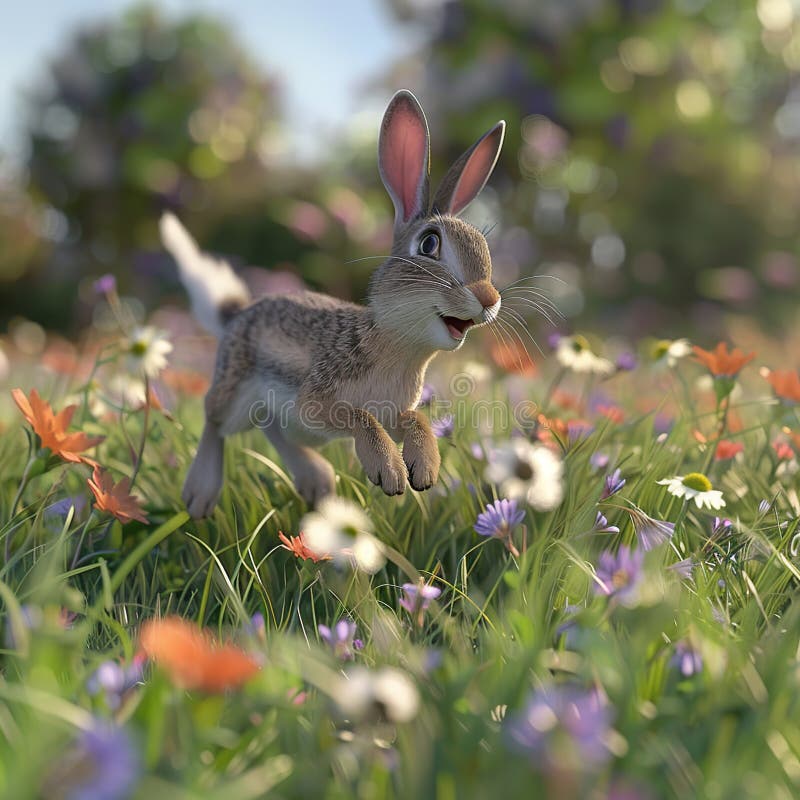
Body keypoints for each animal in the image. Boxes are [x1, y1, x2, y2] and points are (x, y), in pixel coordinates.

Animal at [161, 89, 505, 518]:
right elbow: (355, 415)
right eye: (429, 244)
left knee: (273, 428)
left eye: (485, 246)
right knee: (215, 419)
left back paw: (318, 483)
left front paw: (424, 469)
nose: (489, 298)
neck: (398, 346)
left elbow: (414, 418)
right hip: (236, 390)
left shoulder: (394, 409)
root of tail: (238, 315)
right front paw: (389, 473)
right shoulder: (318, 397)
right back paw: (200, 494)